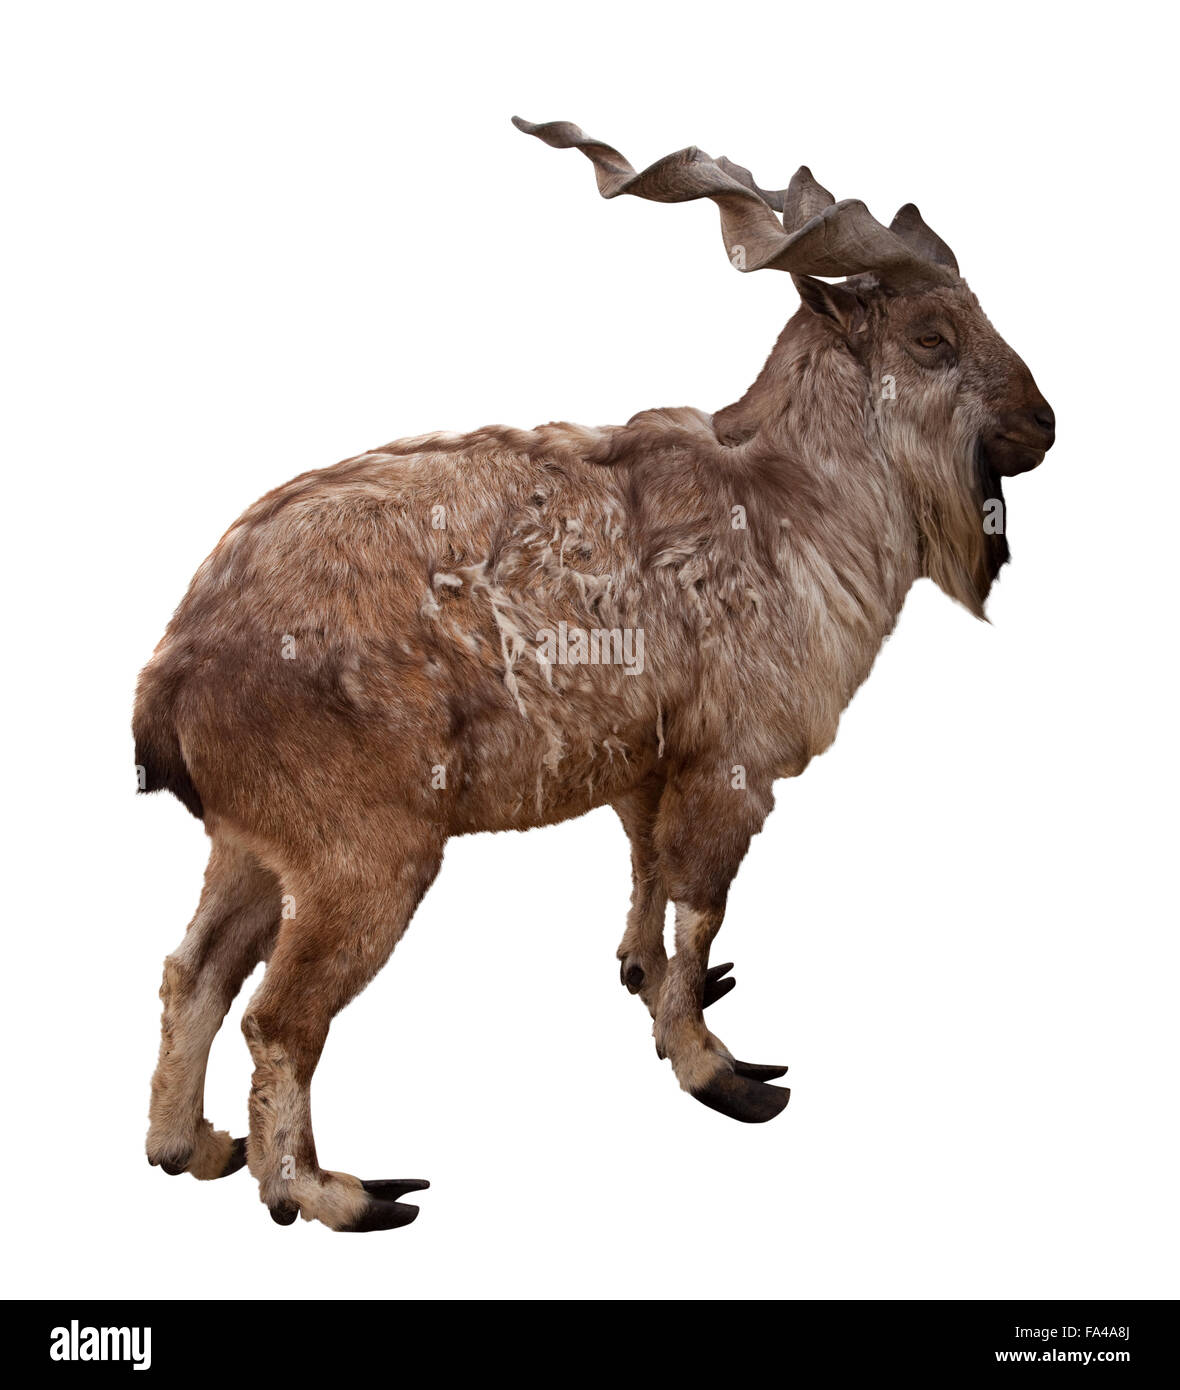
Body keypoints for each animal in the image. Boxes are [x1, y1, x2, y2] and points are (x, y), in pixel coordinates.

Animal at [135, 117, 1055, 1232]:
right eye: (930, 337)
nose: (1045, 425)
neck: (787, 504)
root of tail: (175, 668)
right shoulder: (732, 767)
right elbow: (701, 898)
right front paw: (717, 1071)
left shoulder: (643, 768)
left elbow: (649, 882)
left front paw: (649, 988)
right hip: (361, 854)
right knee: (280, 1014)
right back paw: (331, 1192)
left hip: (252, 844)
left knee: (194, 972)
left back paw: (190, 1146)